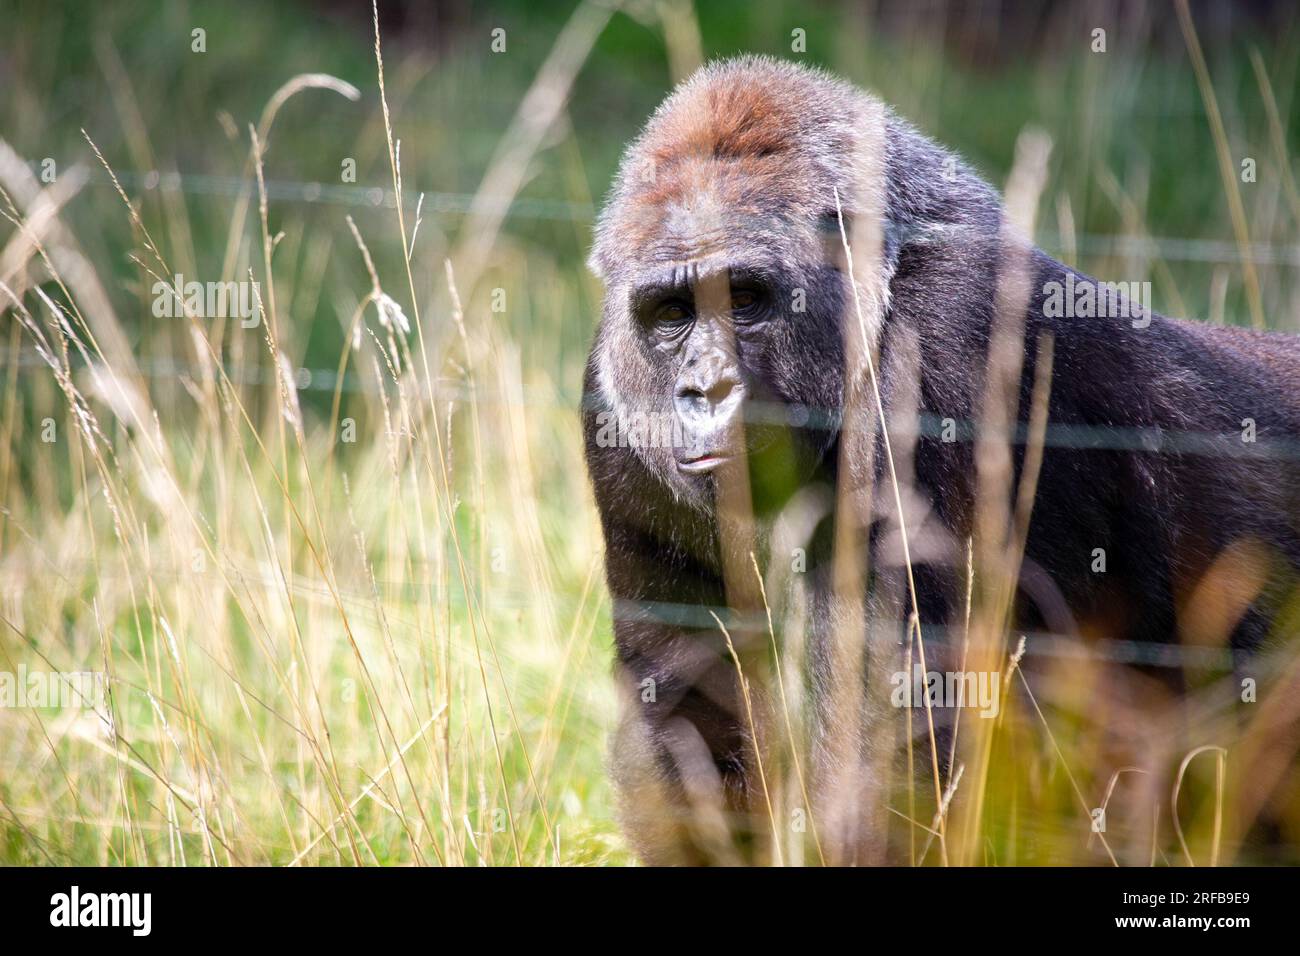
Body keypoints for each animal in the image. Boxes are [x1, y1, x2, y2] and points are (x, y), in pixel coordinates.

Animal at [581, 56, 1300, 865]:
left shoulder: (952, 345)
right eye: (672, 314)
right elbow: (688, 705)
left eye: (744, 298)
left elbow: (918, 732)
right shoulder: (610, 396)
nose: (705, 388)